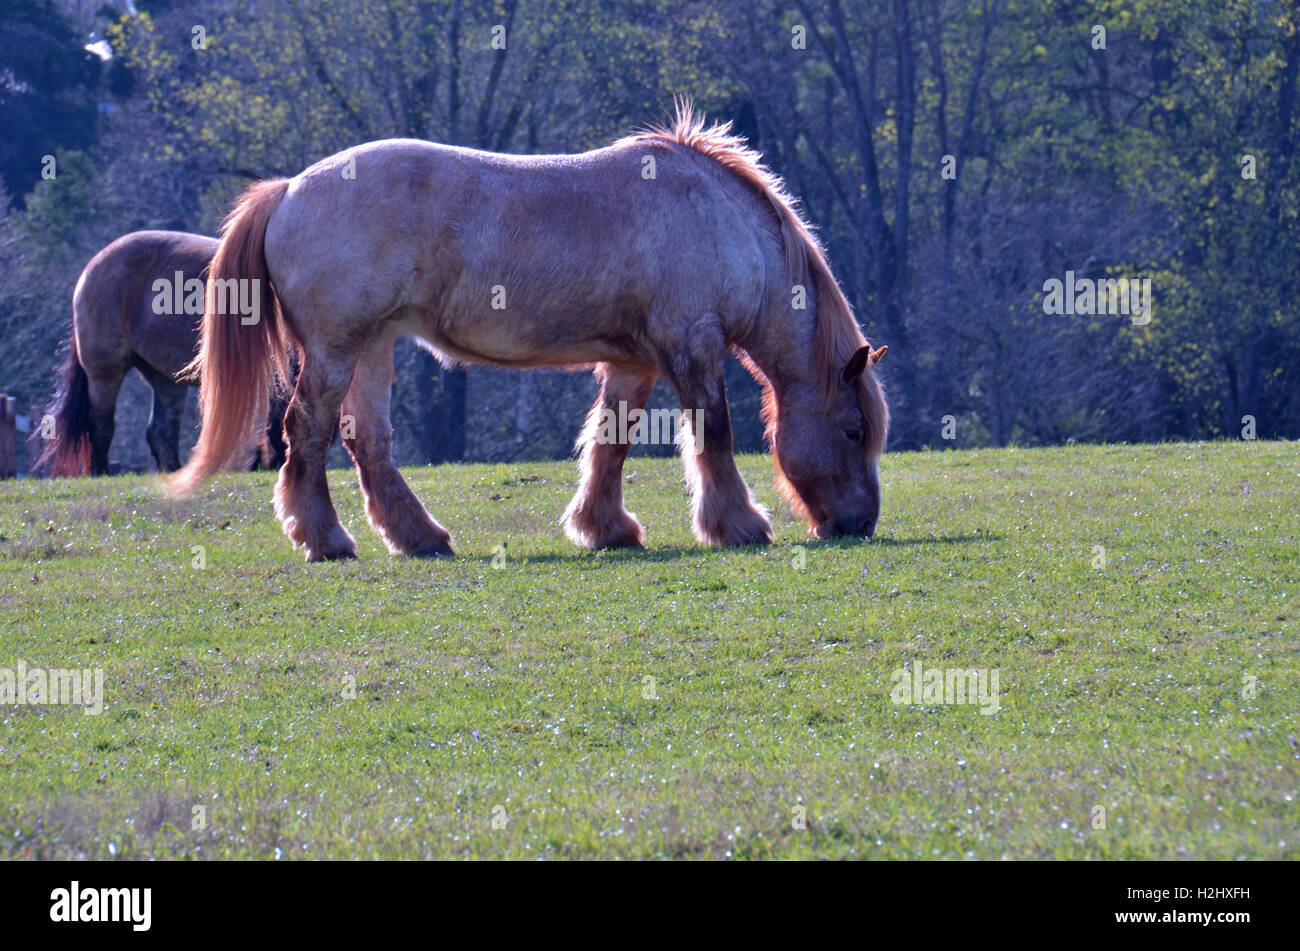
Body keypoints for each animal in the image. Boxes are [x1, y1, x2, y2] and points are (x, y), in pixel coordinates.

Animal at [35, 230, 286, 476]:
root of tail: (92, 265)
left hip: (166, 378)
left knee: (160, 433)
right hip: (105, 374)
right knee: (101, 425)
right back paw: (101, 472)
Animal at [168, 101, 888, 561]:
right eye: (855, 430)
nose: (858, 524)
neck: (717, 219)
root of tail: (289, 189)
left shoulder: (634, 363)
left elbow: (611, 441)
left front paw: (604, 528)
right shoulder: (693, 348)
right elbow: (712, 435)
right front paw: (738, 525)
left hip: (373, 346)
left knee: (367, 441)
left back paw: (419, 538)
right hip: (337, 349)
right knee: (308, 433)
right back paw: (325, 539)